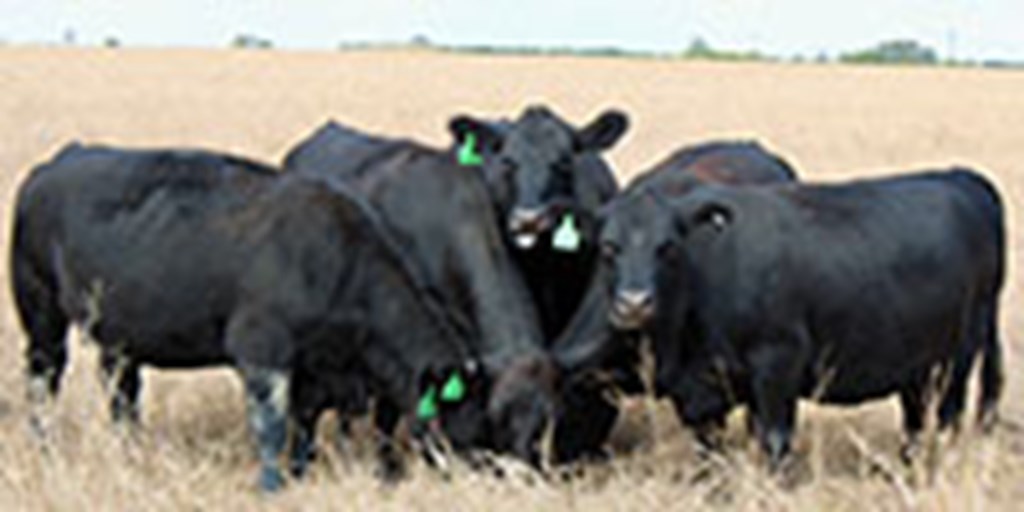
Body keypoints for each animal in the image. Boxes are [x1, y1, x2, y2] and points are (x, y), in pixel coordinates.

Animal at [10, 144, 488, 491]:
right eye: (468, 417)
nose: (486, 477)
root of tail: (57, 161)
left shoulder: (311, 369)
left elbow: (303, 429)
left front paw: (298, 476)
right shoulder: (261, 350)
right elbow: (271, 426)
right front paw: (272, 486)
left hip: (120, 340)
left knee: (122, 394)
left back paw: (129, 450)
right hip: (41, 313)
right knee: (42, 380)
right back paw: (43, 444)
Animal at [566, 167, 1005, 468]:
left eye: (669, 247)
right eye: (608, 248)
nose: (634, 303)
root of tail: (960, 177)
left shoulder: (779, 363)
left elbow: (775, 443)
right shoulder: (702, 392)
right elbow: (711, 452)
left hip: (957, 360)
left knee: (946, 420)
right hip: (916, 364)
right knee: (914, 421)